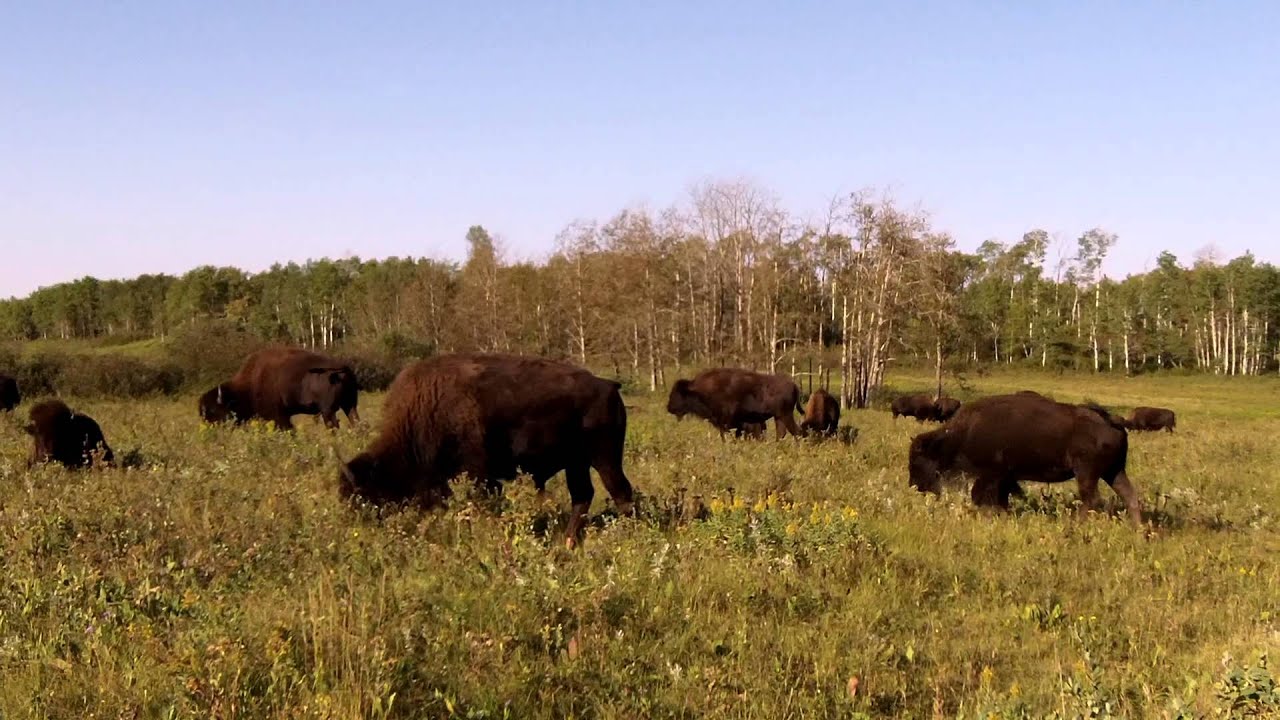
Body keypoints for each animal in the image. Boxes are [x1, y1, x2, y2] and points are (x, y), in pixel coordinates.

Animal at [200, 346, 360, 430]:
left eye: (213, 410)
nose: (209, 429)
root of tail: (342, 368)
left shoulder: (278, 417)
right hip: (350, 405)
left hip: (328, 410)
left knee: (334, 426)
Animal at [338, 353, 637, 549]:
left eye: (362, 496)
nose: (358, 532)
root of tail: (608, 385)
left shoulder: (478, 476)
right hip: (577, 463)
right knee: (583, 496)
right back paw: (568, 543)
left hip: (605, 459)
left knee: (621, 492)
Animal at [666, 368, 802, 439]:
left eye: (677, 394)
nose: (669, 408)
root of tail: (793, 385)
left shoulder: (729, 423)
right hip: (779, 417)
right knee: (782, 433)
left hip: (785, 415)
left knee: (797, 432)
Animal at [908, 392, 1142, 527]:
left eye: (917, 458)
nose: (914, 485)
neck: (963, 432)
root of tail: (1111, 420)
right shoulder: (1005, 477)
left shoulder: (992, 475)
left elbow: (984, 496)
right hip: (1113, 471)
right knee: (1129, 496)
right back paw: (1138, 530)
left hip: (1087, 473)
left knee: (1092, 499)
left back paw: (1074, 525)